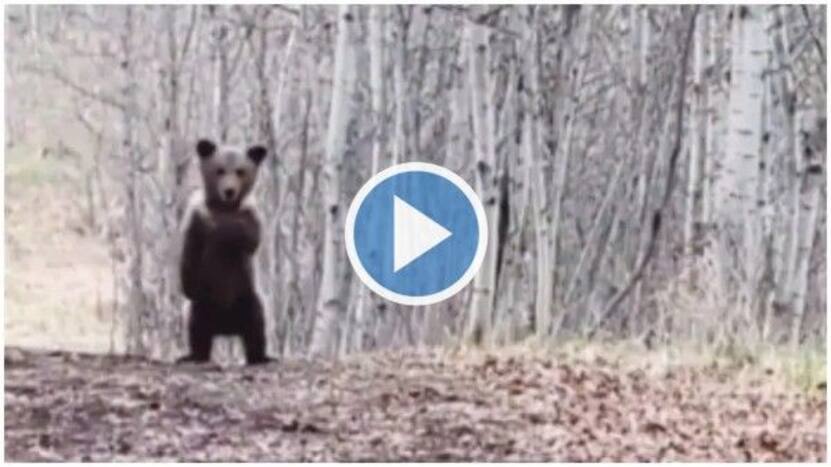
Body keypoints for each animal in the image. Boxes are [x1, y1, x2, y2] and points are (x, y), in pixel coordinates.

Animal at [178, 138, 274, 365]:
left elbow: (250, 240)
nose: (229, 191)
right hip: (204, 305)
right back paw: (193, 356)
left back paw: (261, 357)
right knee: (197, 329)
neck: (224, 208)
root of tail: (226, 329)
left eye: (240, 171)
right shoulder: (196, 218)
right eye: (219, 170)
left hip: (247, 297)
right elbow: (189, 253)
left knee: (256, 327)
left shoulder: (250, 215)